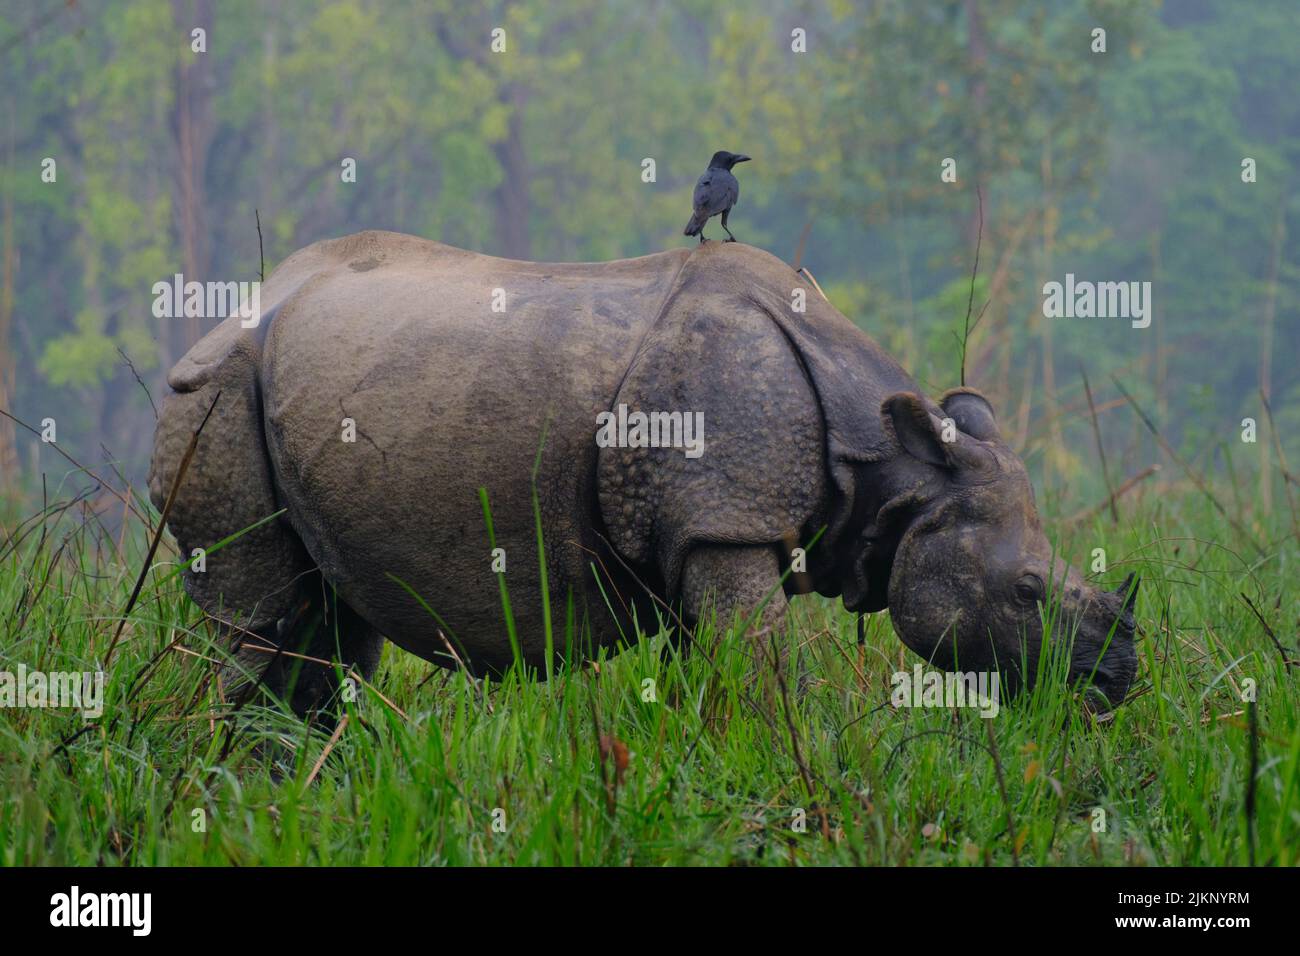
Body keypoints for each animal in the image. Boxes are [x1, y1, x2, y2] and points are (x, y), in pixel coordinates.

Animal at [148, 230, 1138, 716]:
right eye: (1026, 593)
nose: (1115, 685)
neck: (892, 468)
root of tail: (235, 311)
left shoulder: (698, 530)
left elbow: (715, 665)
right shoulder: (721, 517)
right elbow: (762, 668)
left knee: (333, 630)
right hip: (215, 394)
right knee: (262, 623)